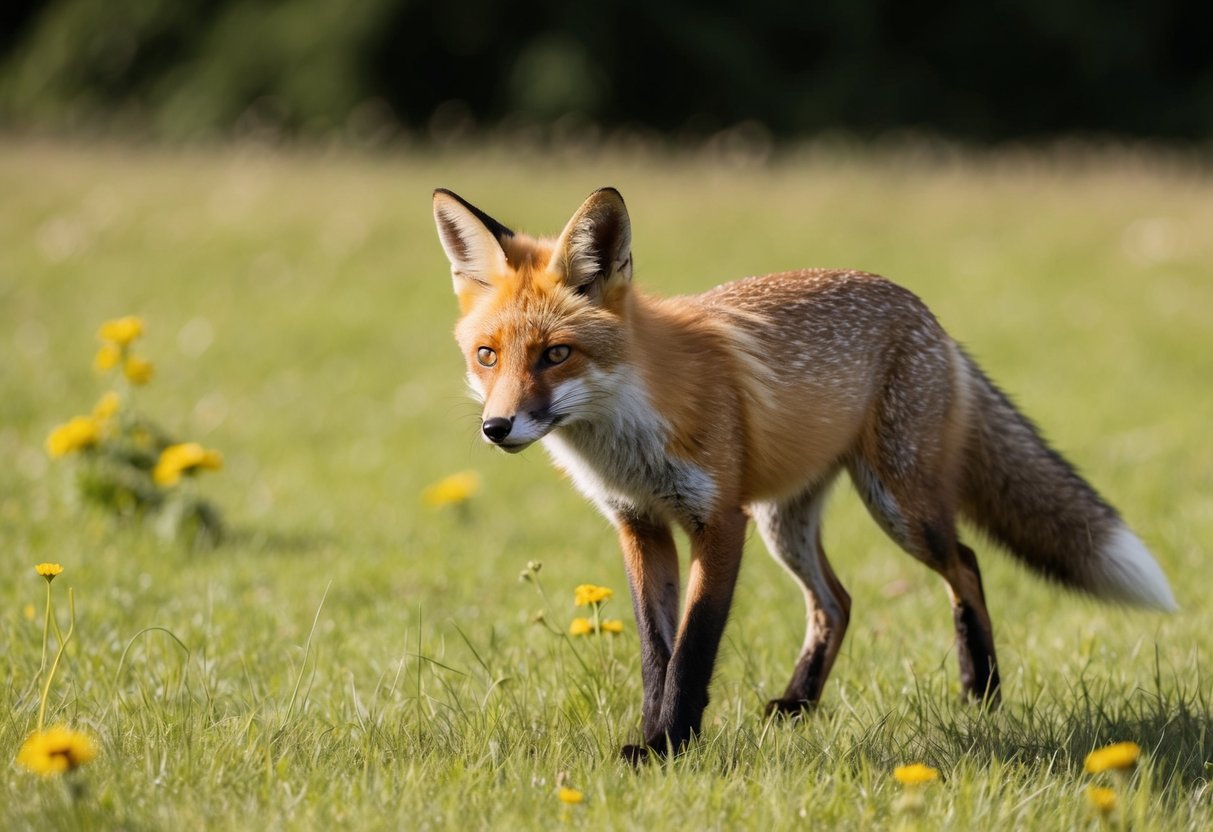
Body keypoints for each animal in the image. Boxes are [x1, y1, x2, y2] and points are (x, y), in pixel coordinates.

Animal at [431, 186, 1176, 762]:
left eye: (556, 354)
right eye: (487, 356)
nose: (496, 428)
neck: (628, 431)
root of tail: (923, 311)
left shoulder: (717, 521)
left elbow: (692, 651)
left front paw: (671, 746)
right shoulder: (640, 524)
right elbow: (654, 652)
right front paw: (650, 737)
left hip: (898, 507)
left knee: (964, 563)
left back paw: (980, 689)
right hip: (785, 522)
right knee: (837, 602)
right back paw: (799, 703)